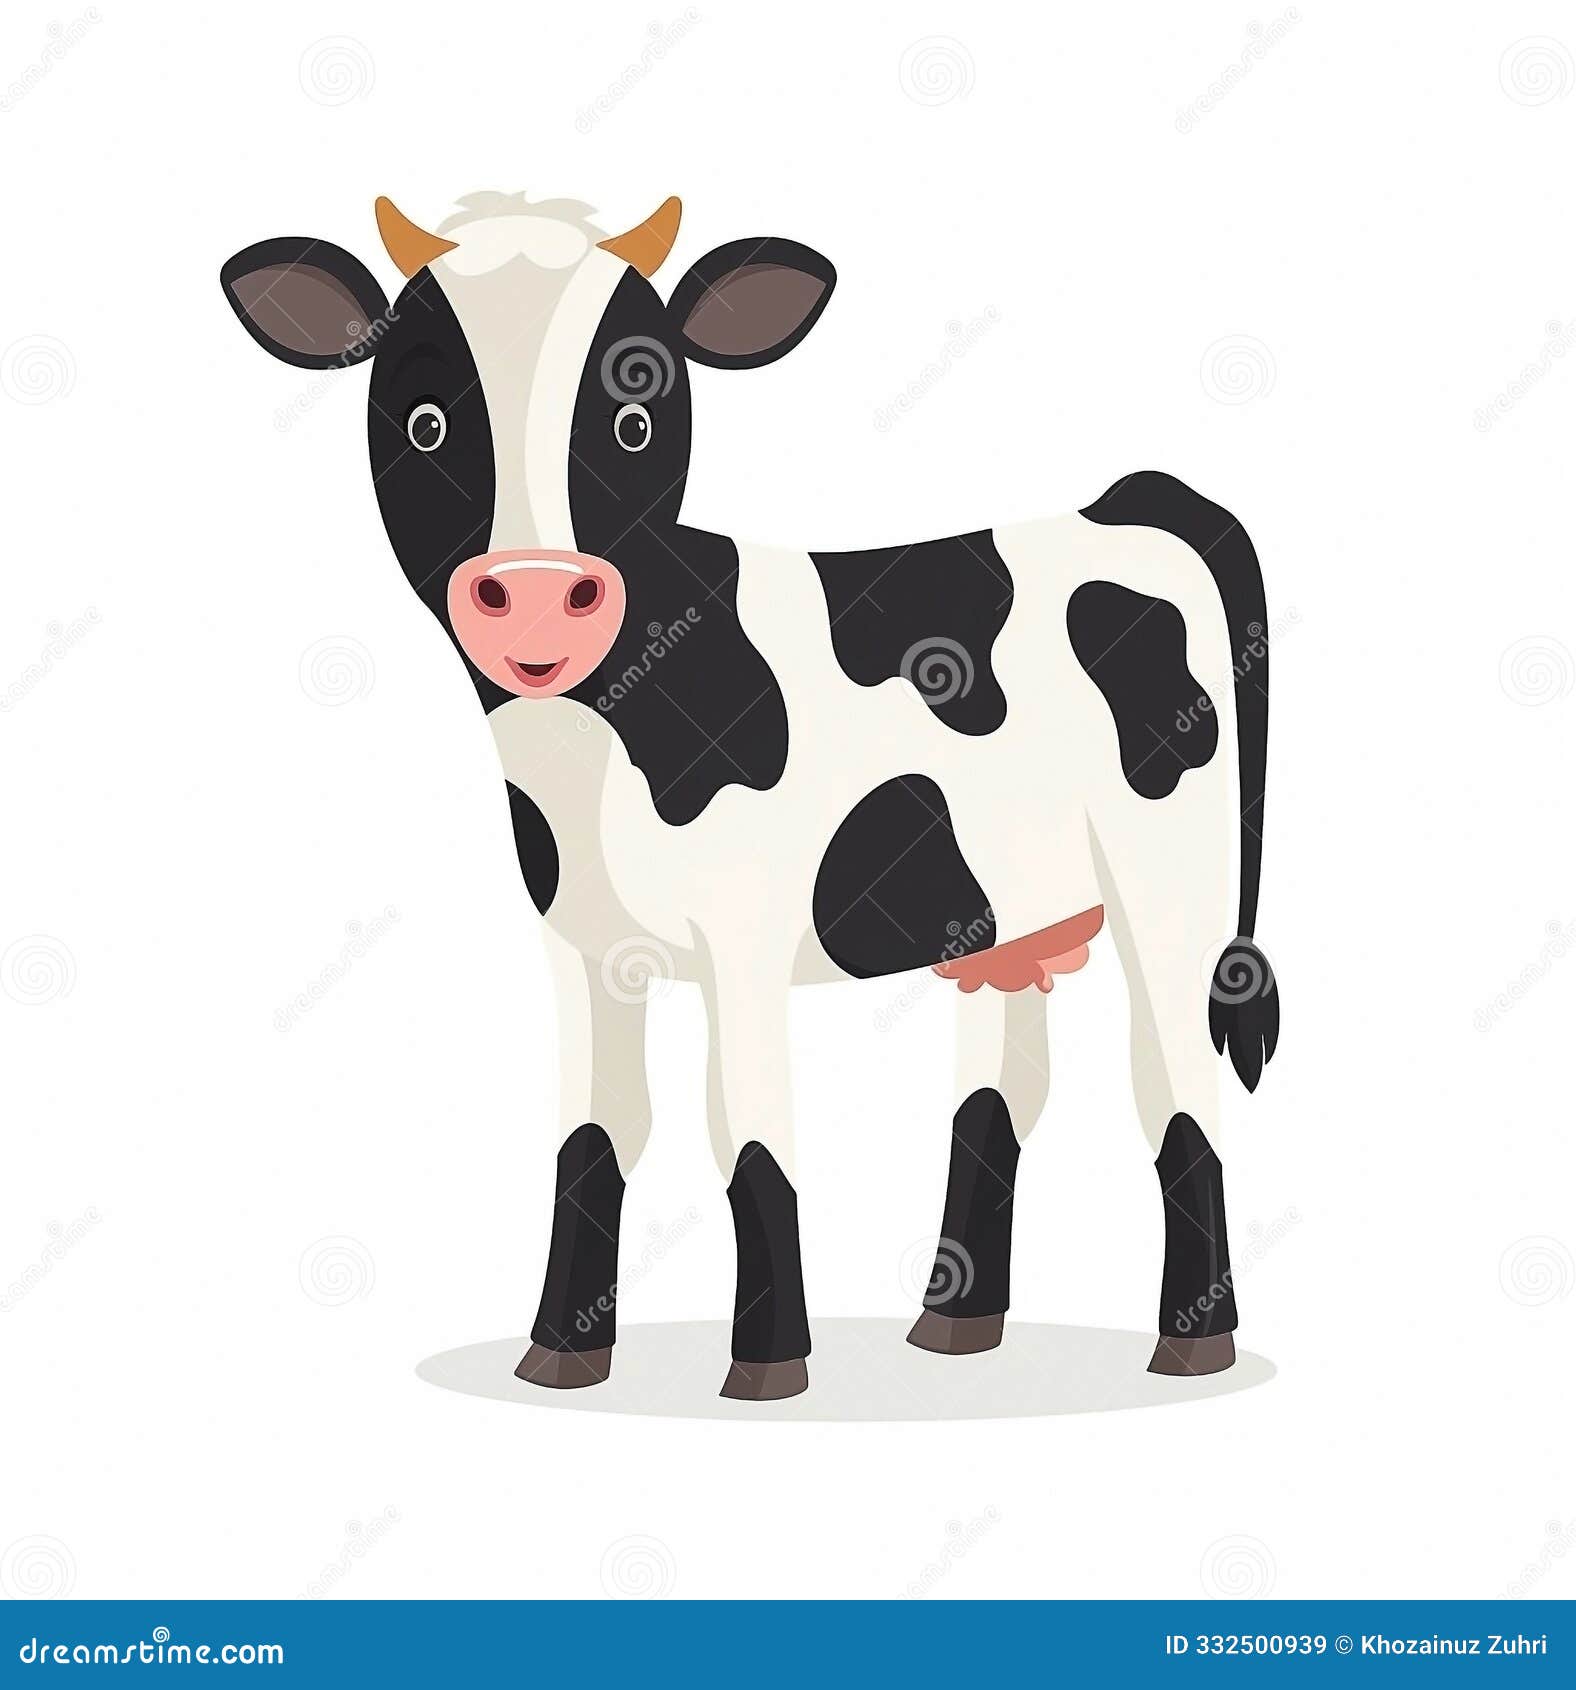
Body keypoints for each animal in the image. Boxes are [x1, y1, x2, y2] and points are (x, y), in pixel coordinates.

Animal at [220, 190, 1279, 1403]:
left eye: (636, 416)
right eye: (425, 420)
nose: (534, 599)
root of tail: (1129, 504)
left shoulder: (746, 928)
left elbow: (744, 1126)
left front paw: (768, 1360)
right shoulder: (580, 941)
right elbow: (596, 1132)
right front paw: (563, 1349)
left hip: (1172, 878)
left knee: (1173, 1079)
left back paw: (1193, 1341)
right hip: (1010, 900)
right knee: (1004, 1088)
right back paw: (953, 1323)